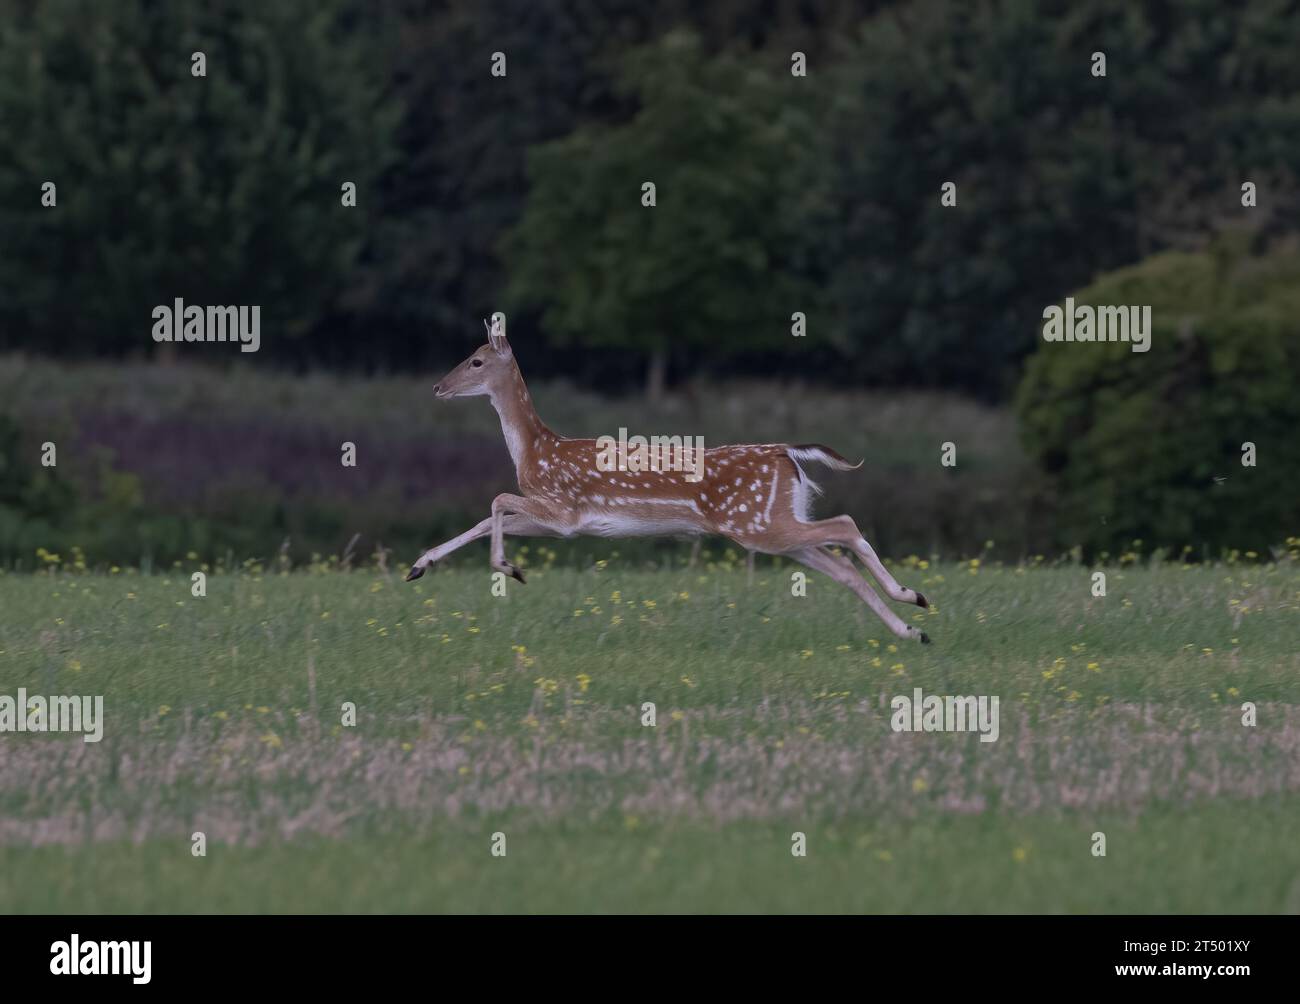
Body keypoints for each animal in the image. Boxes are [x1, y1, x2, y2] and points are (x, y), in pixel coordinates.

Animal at [405, 322, 932, 643]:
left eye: (475, 361)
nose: (437, 386)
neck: (536, 451)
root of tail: (788, 454)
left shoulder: (563, 506)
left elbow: (496, 499)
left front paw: (508, 568)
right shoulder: (561, 523)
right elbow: (487, 517)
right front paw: (419, 566)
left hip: (756, 523)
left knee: (845, 524)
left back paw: (912, 598)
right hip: (775, 524)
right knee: (841, 565)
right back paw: (913, 626)